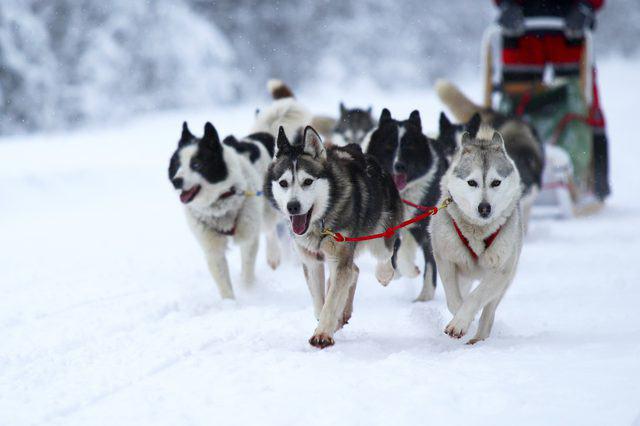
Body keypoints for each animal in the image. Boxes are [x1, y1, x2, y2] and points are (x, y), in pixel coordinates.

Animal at [169, 120, 282, 300]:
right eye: (176, 165)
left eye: (196, 164)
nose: (176, 181)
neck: (220, 200)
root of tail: (257, 136)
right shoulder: (212, 248)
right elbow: (223, 280)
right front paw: (230, 303)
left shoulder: (248, 236)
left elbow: (248, 269)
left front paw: (249, 292)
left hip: (267, 209)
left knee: (270, 229)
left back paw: (273, 256)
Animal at [264, 125, 402, 348]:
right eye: (283, 183)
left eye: (307, 181)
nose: (293, 206)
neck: (320, 224)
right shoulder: (311, 262)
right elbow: (321, 300)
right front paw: (325, 323)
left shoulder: (339, 257)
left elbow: (331, 300)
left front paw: (322, 334)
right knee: (353, 270)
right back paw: (343, 314)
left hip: (379, 236)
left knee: (383, 257)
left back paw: (383, 274)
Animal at [428, 126, 524, 342]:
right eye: (472, 182)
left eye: (496, 182)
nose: (484, 208)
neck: (477, 232)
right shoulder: (446, 259)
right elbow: (454, 299)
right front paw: (459, 318)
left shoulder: (501, 270)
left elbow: (476, 297)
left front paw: (461, 322)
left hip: (505, 280)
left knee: (488, 312)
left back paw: (478, 339)